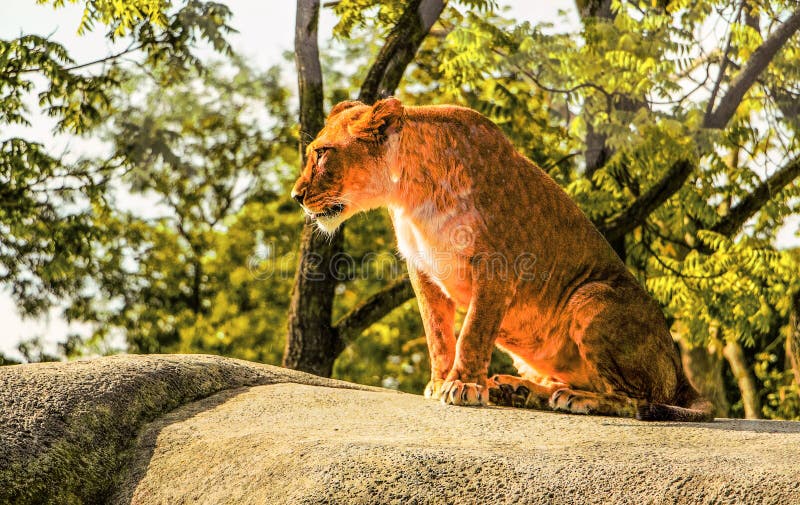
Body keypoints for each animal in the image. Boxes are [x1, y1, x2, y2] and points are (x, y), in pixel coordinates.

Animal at [291, 97, 713, 422]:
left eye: (322, 154)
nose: (296, 196)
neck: (409, 195)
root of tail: (680, 372)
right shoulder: (422, 269)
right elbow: (437, 333)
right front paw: (441, 381)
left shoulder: (498, 266)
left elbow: (473, 332)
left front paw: (463, 384)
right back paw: (518, 390)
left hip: (591, 296)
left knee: (638, 399)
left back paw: (576, 400)